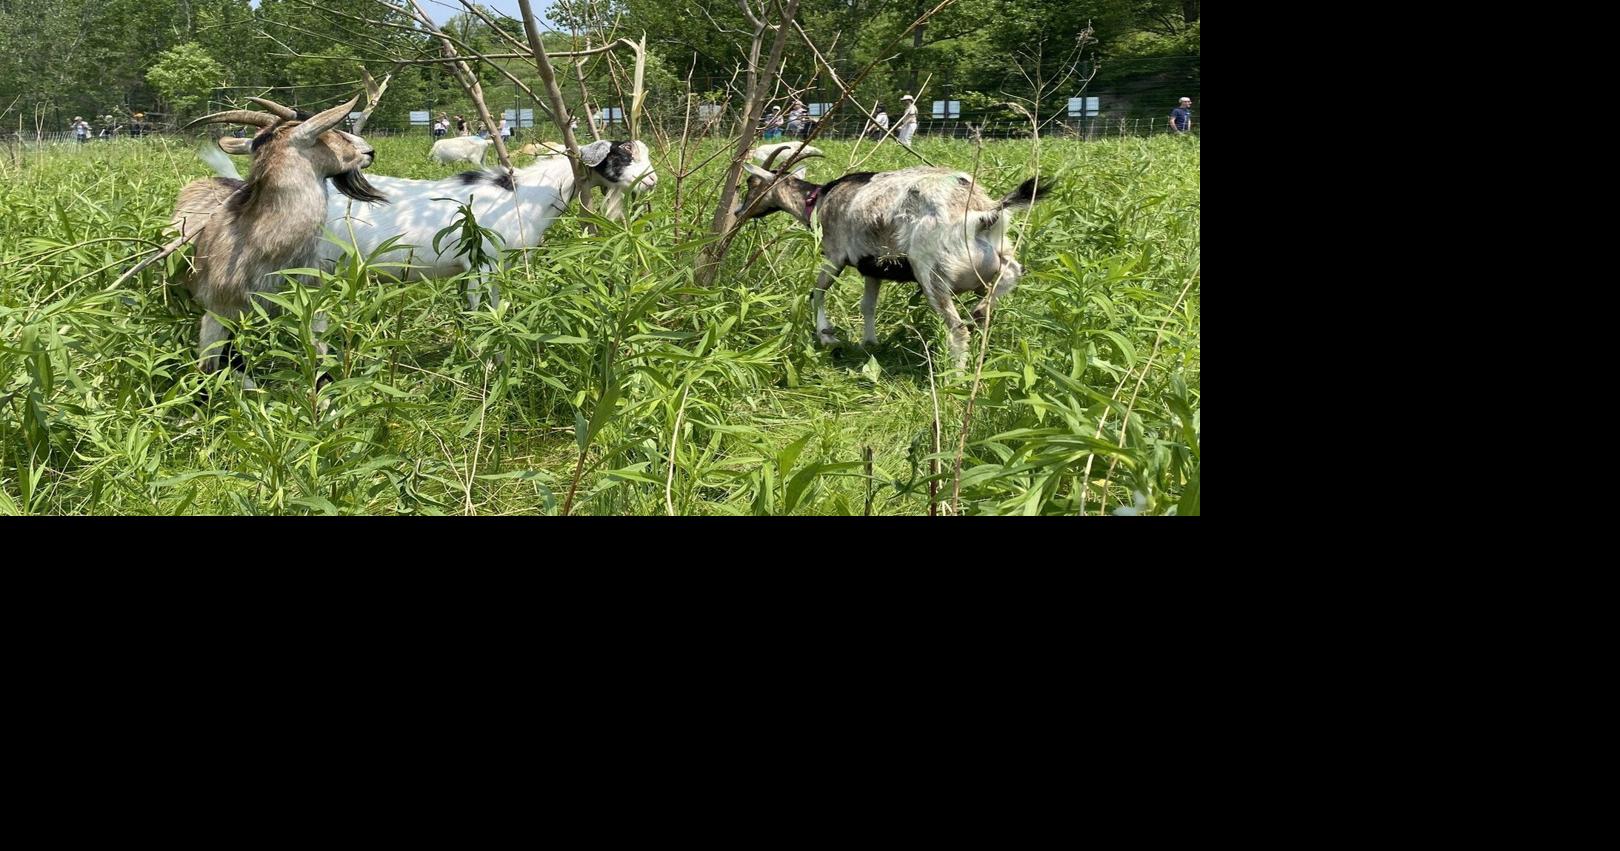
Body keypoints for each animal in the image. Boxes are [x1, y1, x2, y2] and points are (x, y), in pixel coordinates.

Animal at [170, 96, 380, 385]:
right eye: (332, 131)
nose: (369, 151)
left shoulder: (311, 306)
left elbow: (319, 363)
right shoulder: (217, 313)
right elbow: (208, 371)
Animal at [733, 147, 1046, 368]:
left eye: (751, 182)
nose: (738, 212)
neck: (820, 200)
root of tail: (983, 214)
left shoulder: (835, 254)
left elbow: (817, 291)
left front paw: (826, 336)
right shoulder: (872, 266)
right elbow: (868, 305)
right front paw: (869, 343)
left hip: (929, 270)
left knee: (957, 328)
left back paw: (954, 379)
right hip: (996, 256)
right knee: (1010, 275)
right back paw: (980, 312)